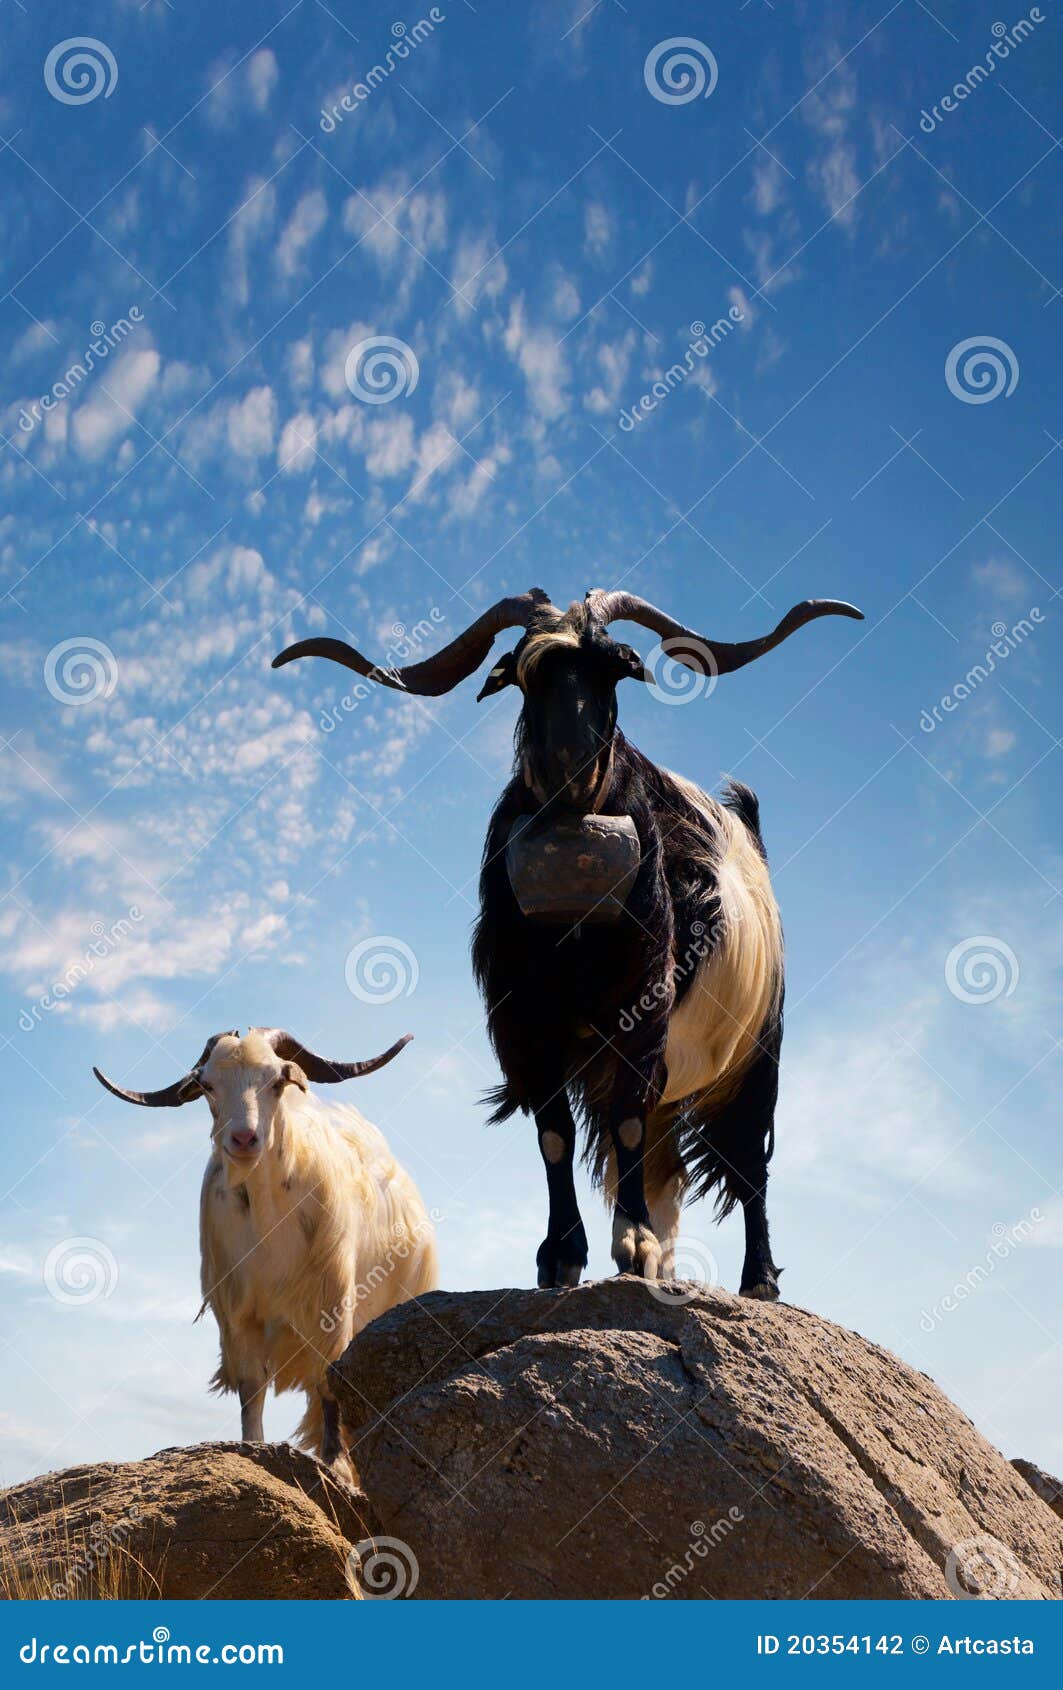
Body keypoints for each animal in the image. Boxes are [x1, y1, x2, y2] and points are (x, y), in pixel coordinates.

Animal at [93, 1027, 436, 1468]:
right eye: (208, 1085)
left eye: (276, 1081)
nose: (243, 1138)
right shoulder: (238, 1314)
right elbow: (250, 1389)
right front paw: (253, 1448)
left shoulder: (331, 1304)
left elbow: (329, 1381)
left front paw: (333, 1465)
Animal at [272, 587, 861, 1297]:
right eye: (525, 675)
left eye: (613, 667)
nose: (570, 767)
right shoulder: (527, 1025)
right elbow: (555, 1134)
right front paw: (561, 1255)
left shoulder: (642, 1011)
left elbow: (629, 1119)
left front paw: (631, 1244)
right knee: (667, 1166)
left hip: (757, 1054)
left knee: (747, 1160)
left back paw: (757, 1280)